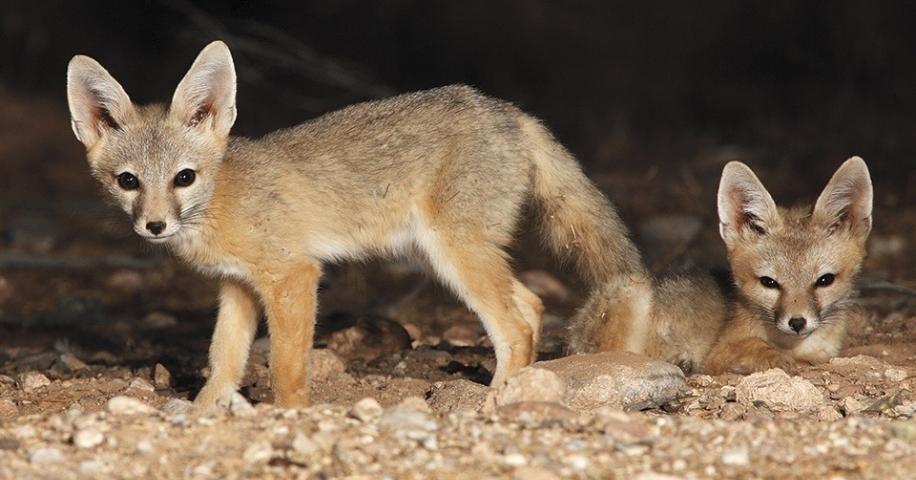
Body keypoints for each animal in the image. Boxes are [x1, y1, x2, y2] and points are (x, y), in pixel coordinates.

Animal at [66, 41, 650, 409]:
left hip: (454, 255)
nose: (155, 226)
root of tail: (506, 110)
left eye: (184, 177)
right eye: (128, 182)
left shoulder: (294, 276)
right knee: (531, 304)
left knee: (518, 324)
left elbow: (286, 366)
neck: (223, 199)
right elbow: (223, 361)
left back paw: (498, 399)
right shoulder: (238, 288)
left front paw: (290, 415)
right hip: (461, 256)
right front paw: (206, 411)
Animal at [569, 157, 873, 375]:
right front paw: (773, 357)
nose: (797, 322)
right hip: (634, 290)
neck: (794, 345)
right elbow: (754, 345)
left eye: (824, 280)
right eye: (769, 282)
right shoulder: (718, 352)